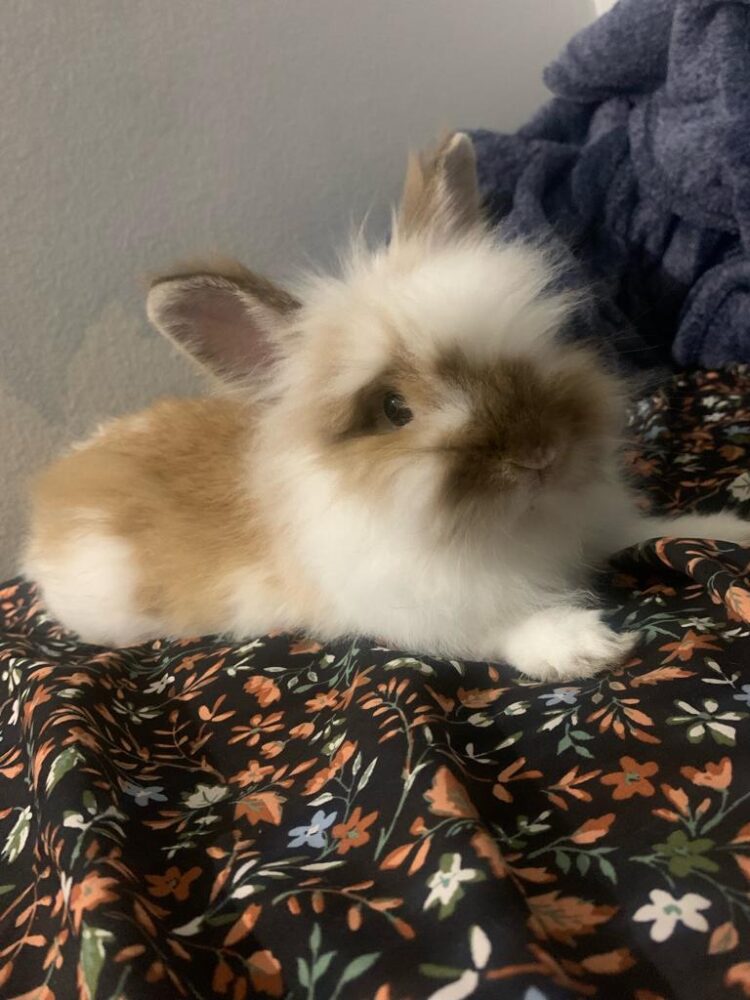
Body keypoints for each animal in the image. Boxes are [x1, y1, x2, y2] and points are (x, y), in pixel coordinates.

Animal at [24, 132, 749, 681]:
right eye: (395, 410)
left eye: (531, 339)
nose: (542, 455)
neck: (513, 523)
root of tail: (56, 485)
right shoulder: (417, 609)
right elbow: (499, 625)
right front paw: (582, 646)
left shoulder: (597, 525)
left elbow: (655, 530)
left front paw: (728, 527)